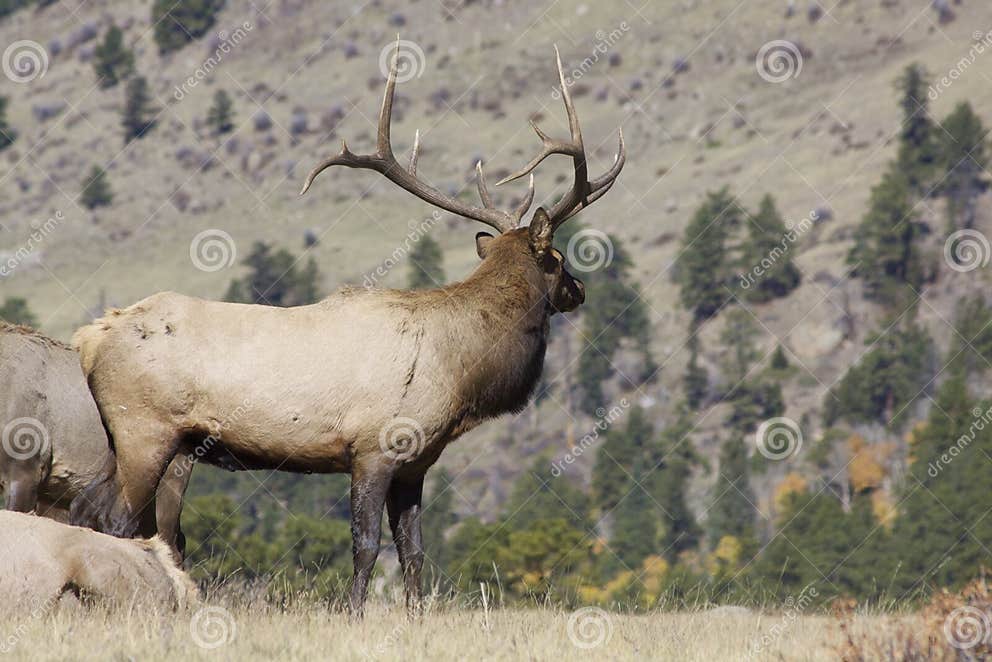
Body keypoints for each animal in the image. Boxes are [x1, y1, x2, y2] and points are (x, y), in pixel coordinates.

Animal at [69, 41, 625, 615]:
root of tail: (88, 338)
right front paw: (355, 613)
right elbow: (366, 545)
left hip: (145, 442)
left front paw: (415, 614)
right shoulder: (373, 447)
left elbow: (414, 551)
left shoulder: (416, 462)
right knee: (117, 519)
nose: (580, 290)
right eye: (557, 259)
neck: (459, 374)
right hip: (144, 428)